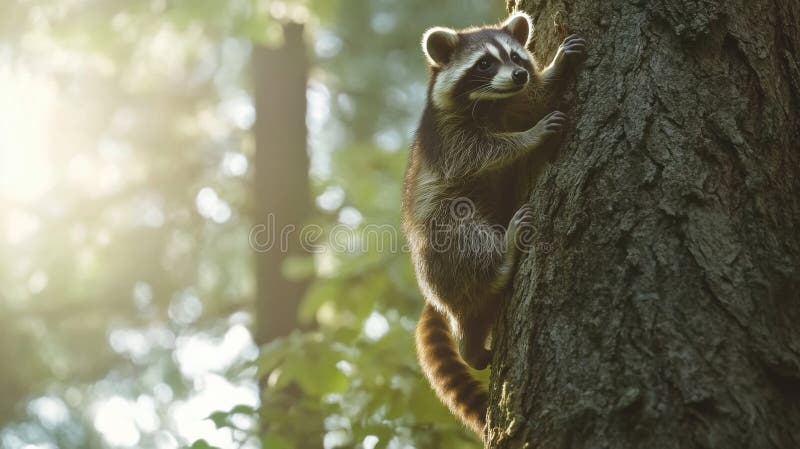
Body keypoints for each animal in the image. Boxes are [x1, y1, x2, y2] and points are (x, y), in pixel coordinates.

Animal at [401, 11, 585, 438]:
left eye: (516, 57)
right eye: (484, 63)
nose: (519, 75)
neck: (490, 101)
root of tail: (444, 302)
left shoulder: (510, 102)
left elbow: (529, 102)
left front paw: (547, 75)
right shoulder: (450, 138)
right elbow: (484, 153)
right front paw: (529, 135)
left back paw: (470, 345)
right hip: (439, 239)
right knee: (463, 230)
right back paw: (502, 259)